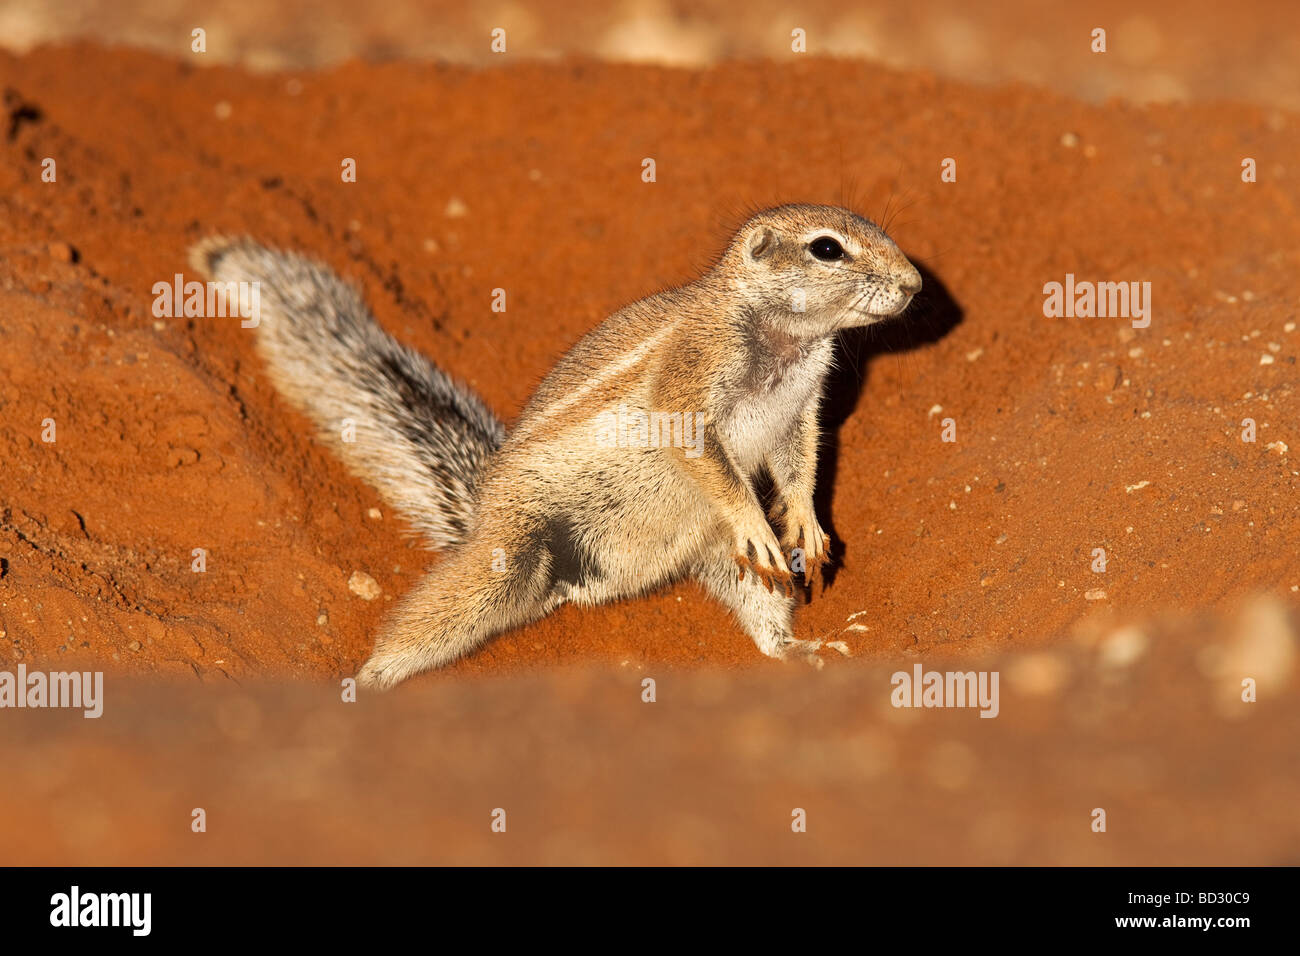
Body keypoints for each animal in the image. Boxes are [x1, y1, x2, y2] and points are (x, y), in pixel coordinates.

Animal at [189, 204, 921, 689]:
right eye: (827, 249)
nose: (915, 284)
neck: (787, 343)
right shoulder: (688, 386)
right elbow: (710, 461)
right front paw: (761, 520)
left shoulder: (800, 414)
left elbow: (799, 468)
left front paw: (806, 528)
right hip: (508, 560)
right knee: (426, 621)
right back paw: (368, 681)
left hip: (715, 555)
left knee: (762, 611)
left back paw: (797, 650)